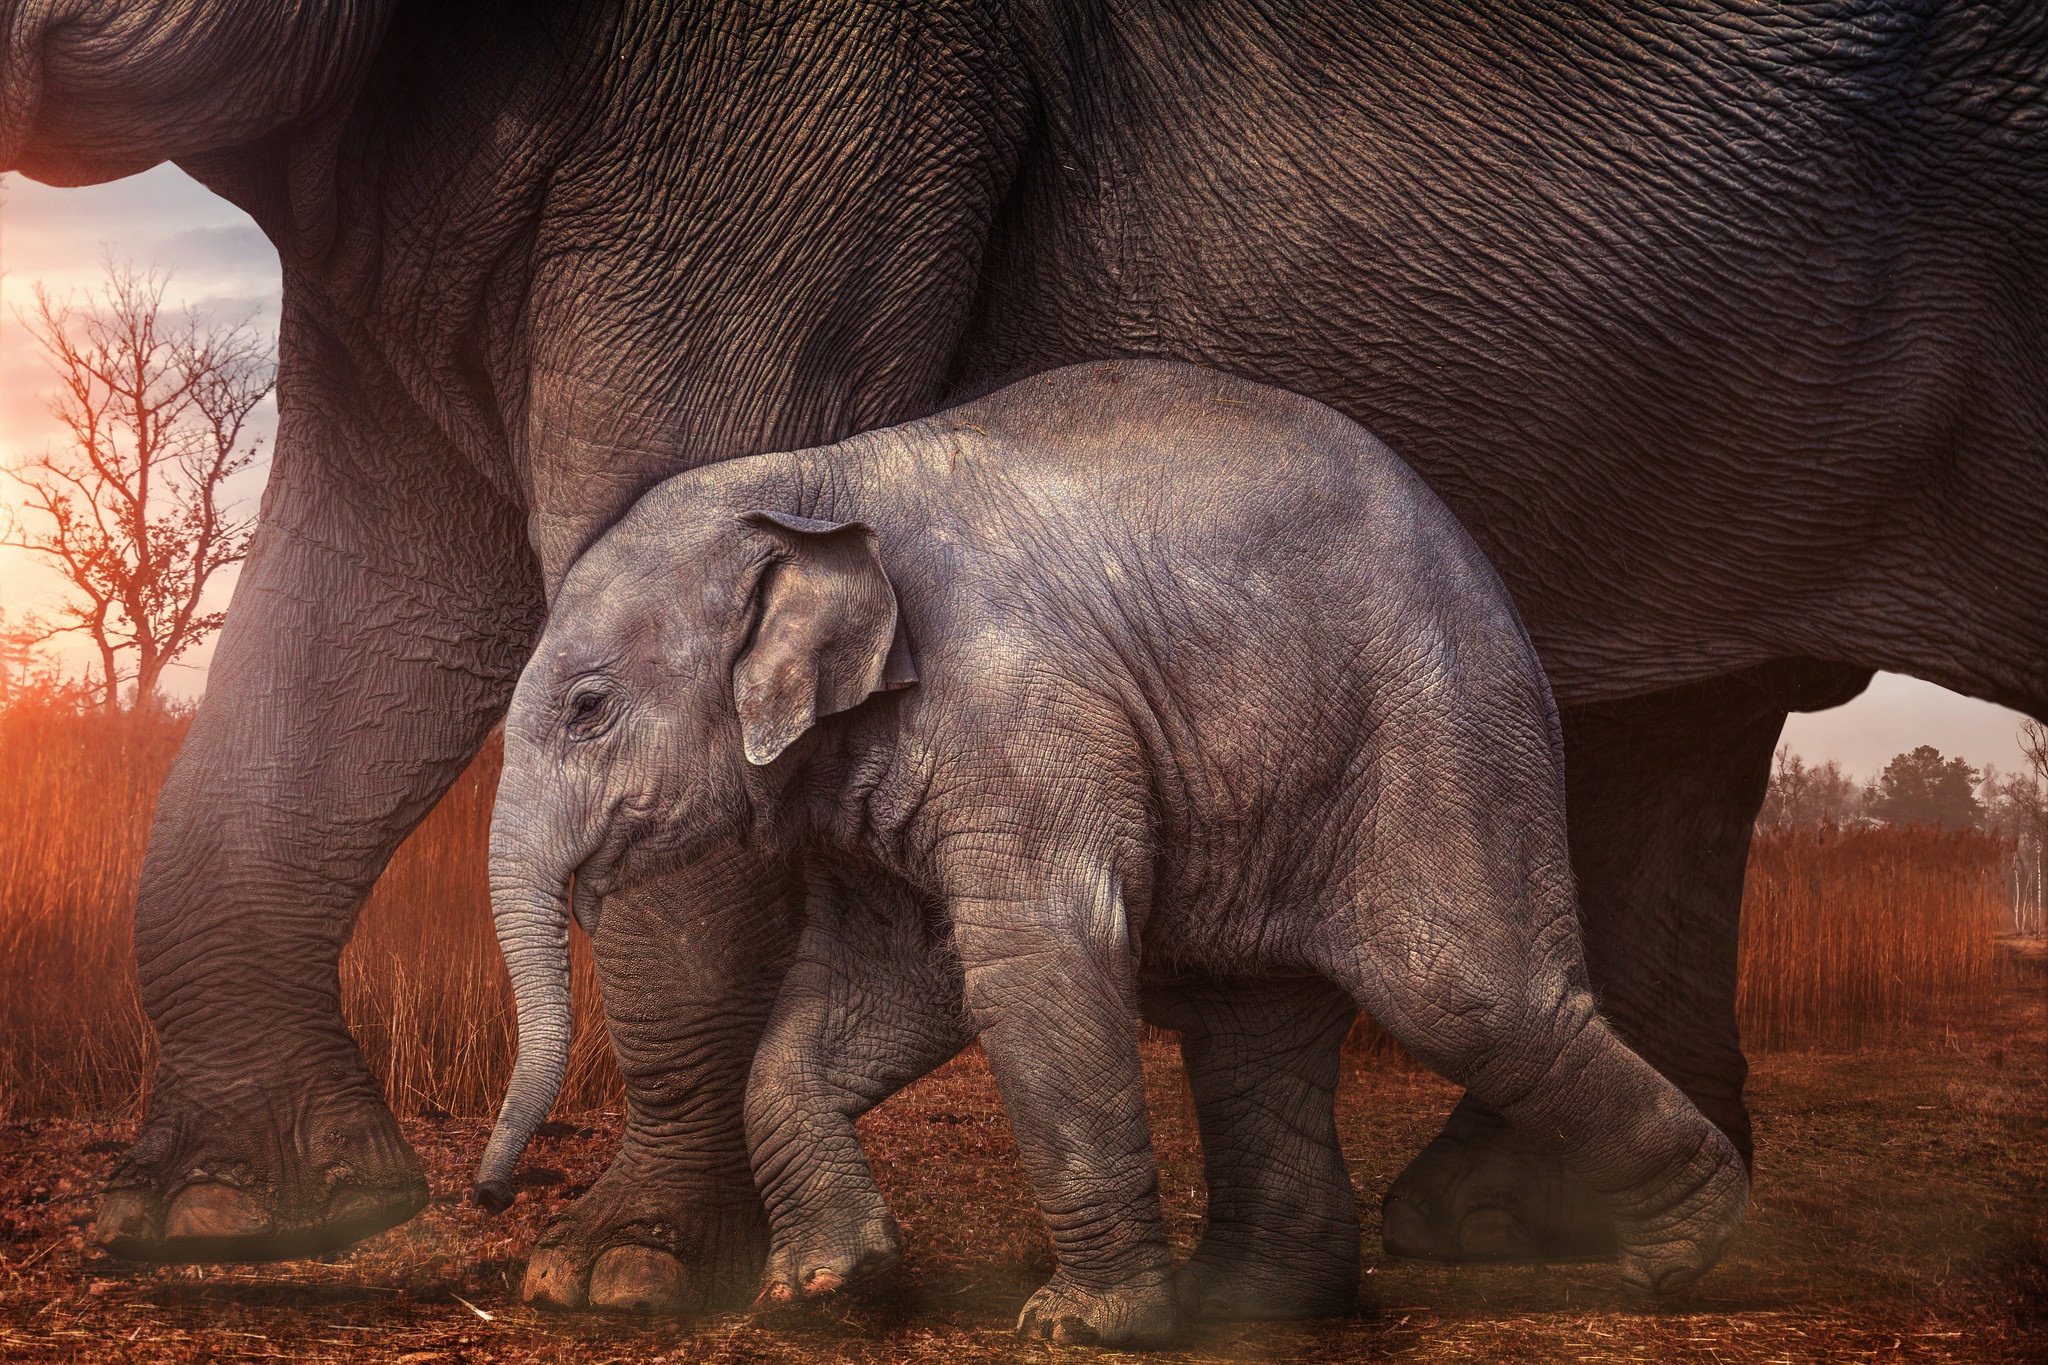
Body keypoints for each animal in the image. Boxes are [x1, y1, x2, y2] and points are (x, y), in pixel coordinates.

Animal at [474, 361, 1751, 1344]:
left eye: (586, 709)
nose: (489, 1202)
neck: (809, 477)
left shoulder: (1022, 705)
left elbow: (1032, 963)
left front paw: (1076, 1331)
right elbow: (885, 983)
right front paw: (821, 1289)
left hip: (1440, 729)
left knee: (1463, 993)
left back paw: (1691, 1252)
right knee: (1247, 1028)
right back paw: (1247, 1307)